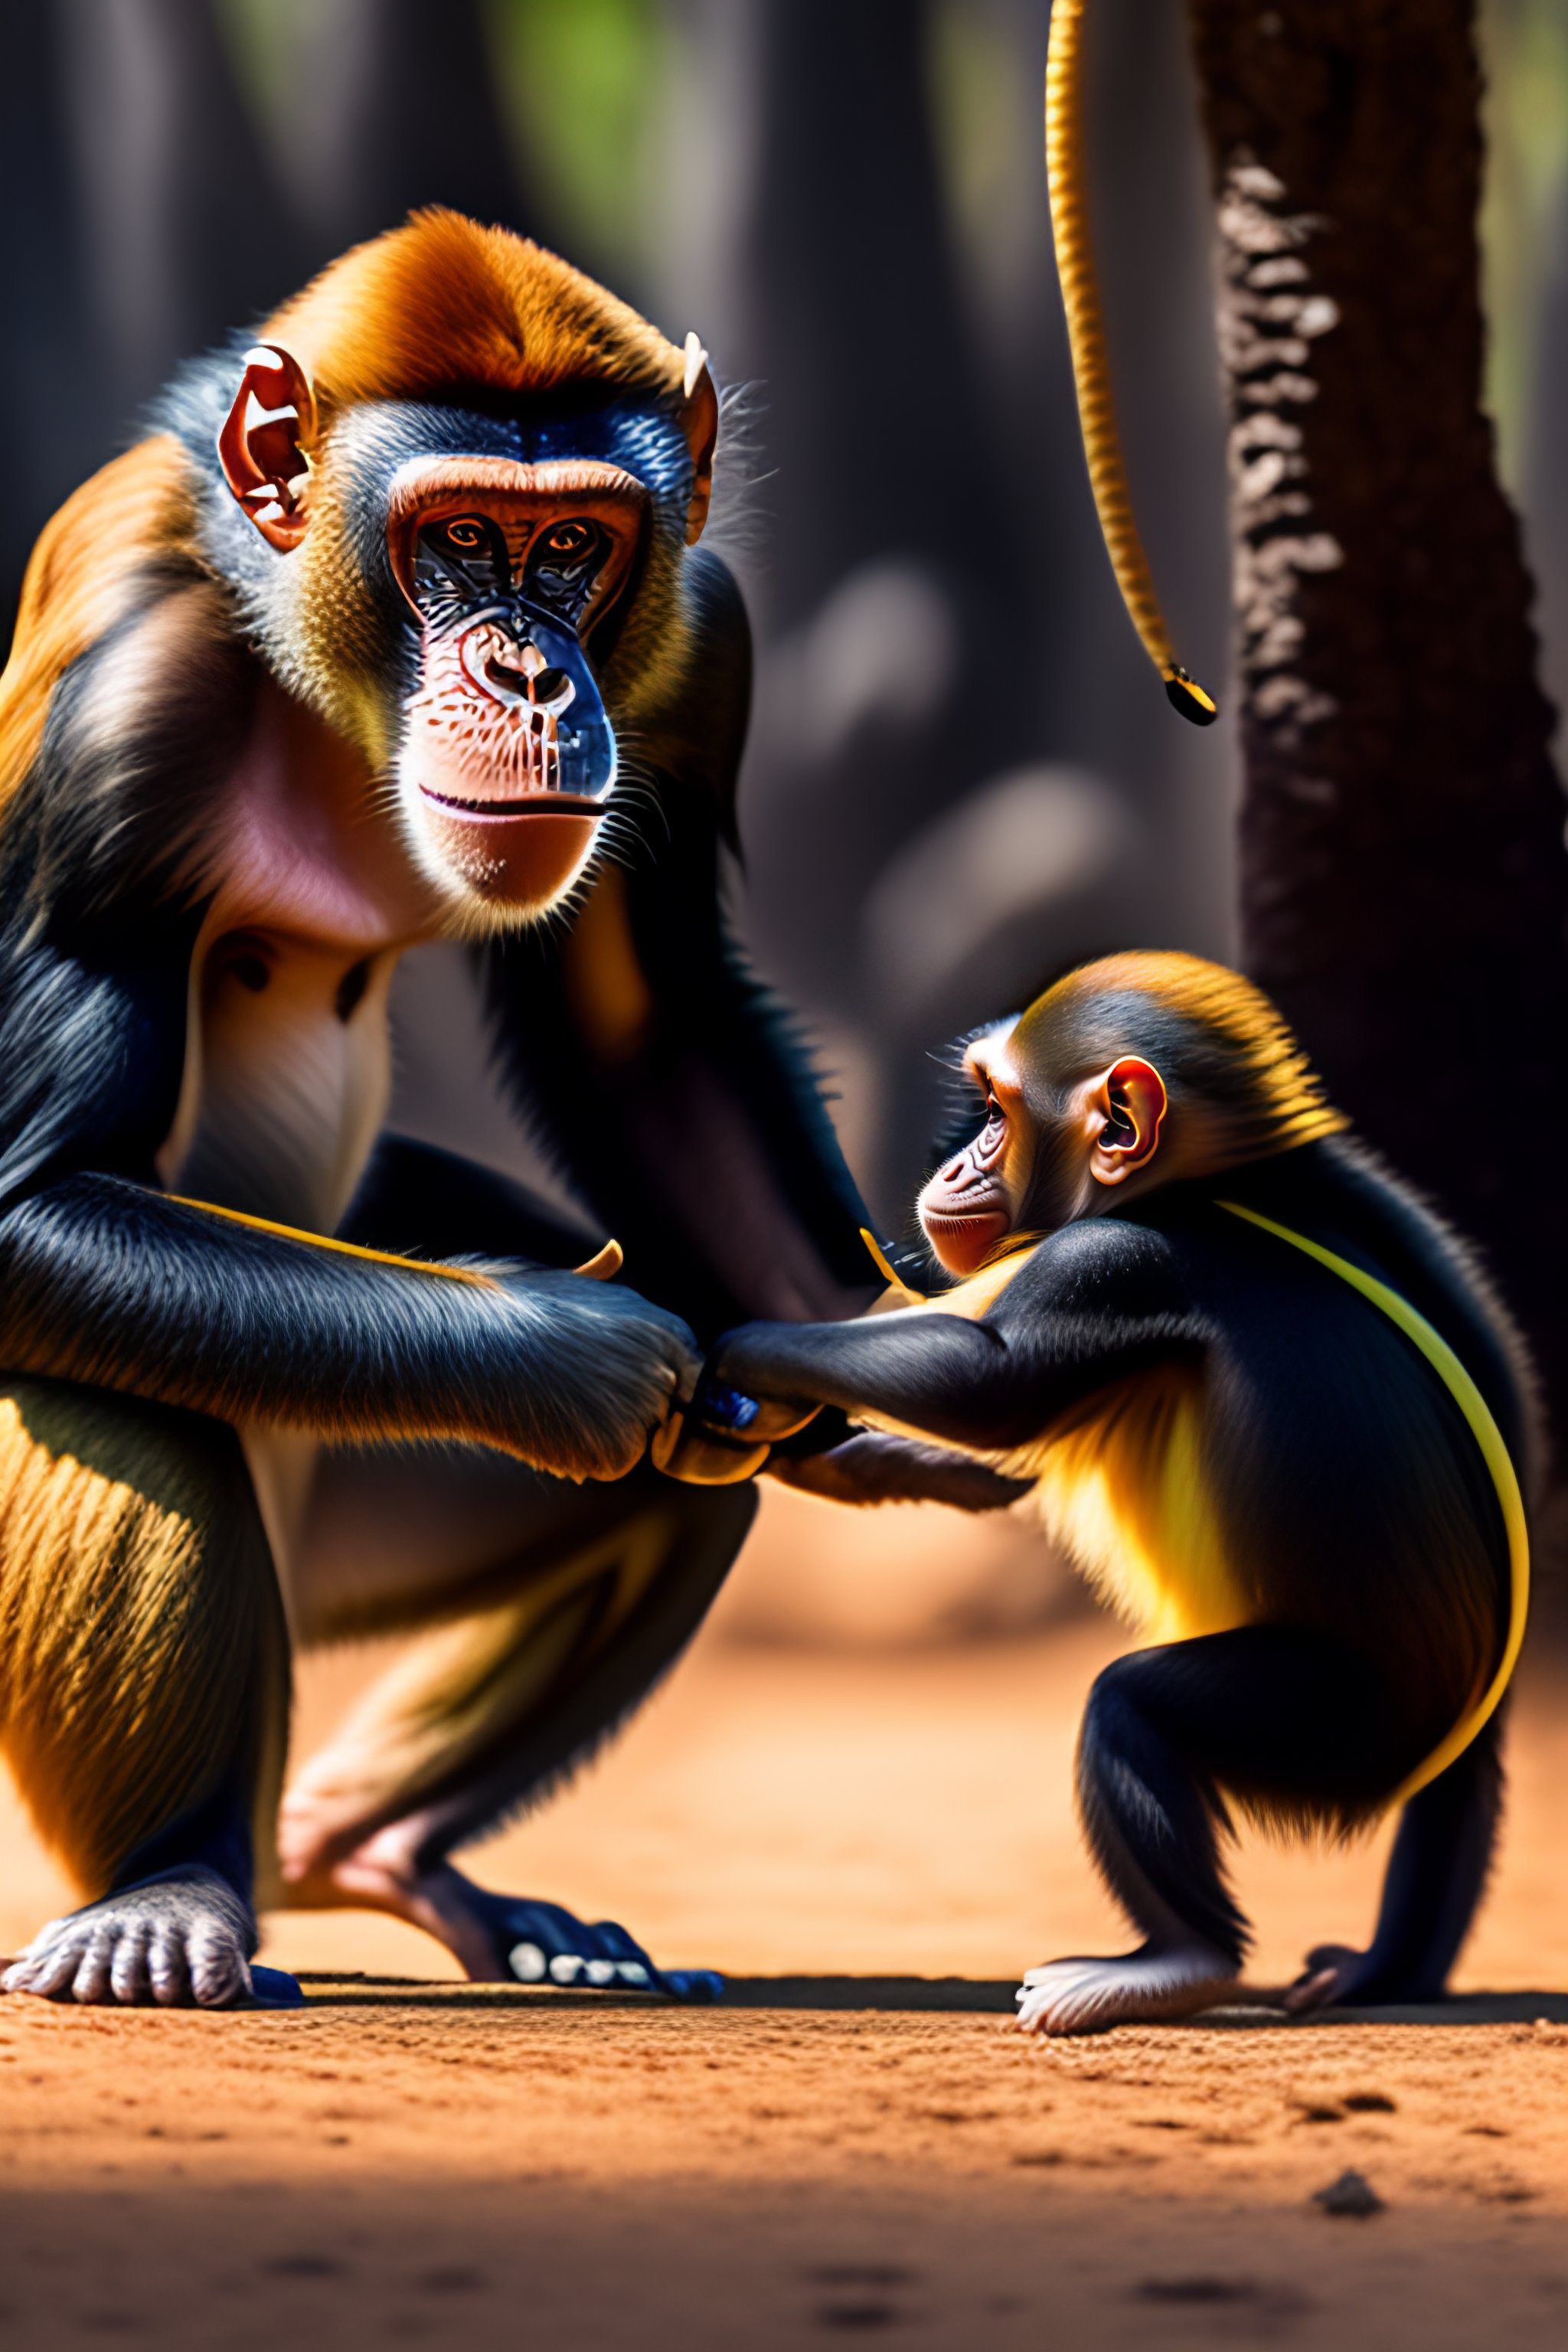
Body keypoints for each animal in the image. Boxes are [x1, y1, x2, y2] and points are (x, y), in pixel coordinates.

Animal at [0, 208, 885, 2009]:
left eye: (572, 549)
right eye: (462, 537)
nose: (530, 669)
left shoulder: (700, 637)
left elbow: (645, 1019)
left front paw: (864, 1349)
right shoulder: (126, 724)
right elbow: (33, 1200)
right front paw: (562, 1350)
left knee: (683, 1485)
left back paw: (391, 1861)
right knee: (122, 1397)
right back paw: (168, 1892)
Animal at [691, 952, 1536, 2033]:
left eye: (997, 1114)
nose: (954, 1165)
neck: (1203, 1190)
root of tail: (1456, 1723)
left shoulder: (1111, 1261)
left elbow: (989, 1379)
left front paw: (752, 1347)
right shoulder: (1374, 1207)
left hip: (1341, 1728)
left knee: (1134, 1709)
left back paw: (1178, 1962)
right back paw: (1390, 1967)